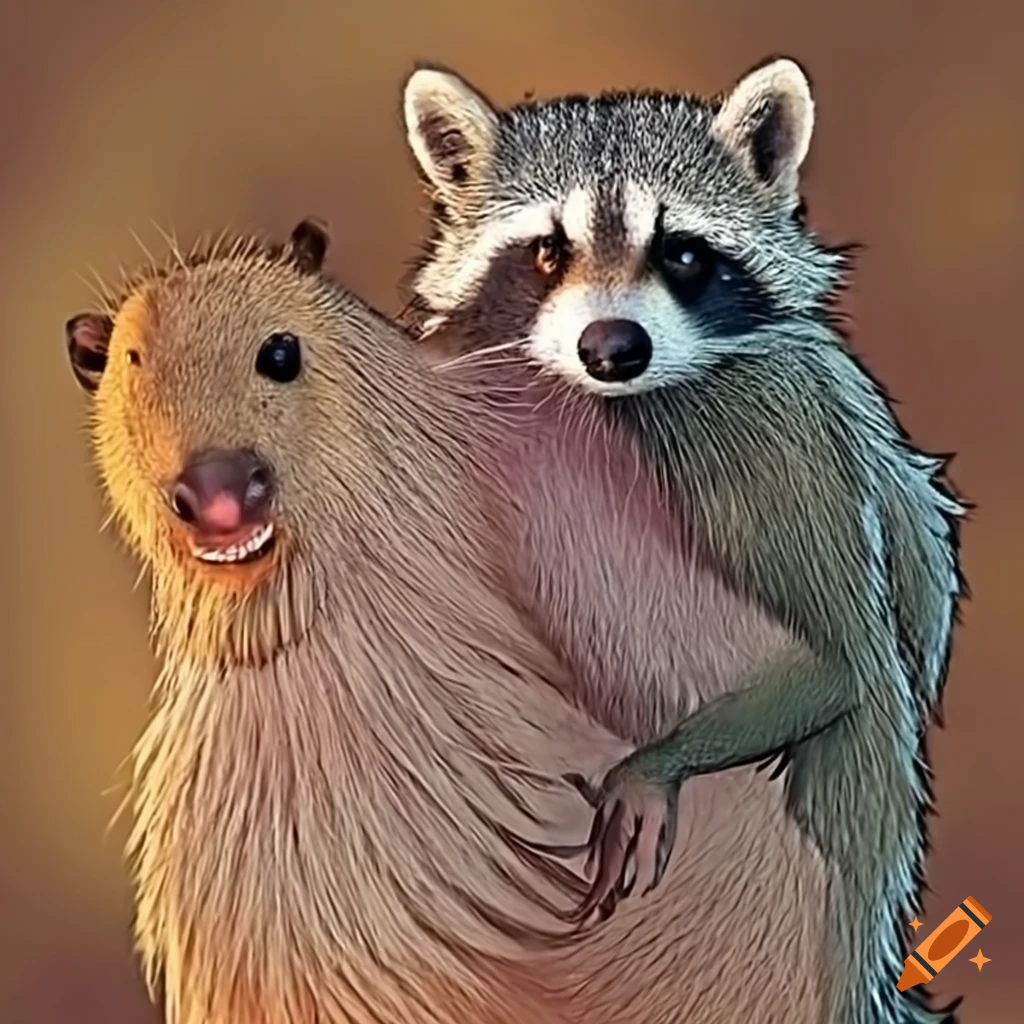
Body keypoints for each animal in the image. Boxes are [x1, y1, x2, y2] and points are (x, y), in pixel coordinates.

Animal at [399, 57, 966, 1024]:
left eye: (684, 253)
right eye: (546, 252)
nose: (611, 347)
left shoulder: (784, 434)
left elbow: (839, 660)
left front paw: (655, 765)